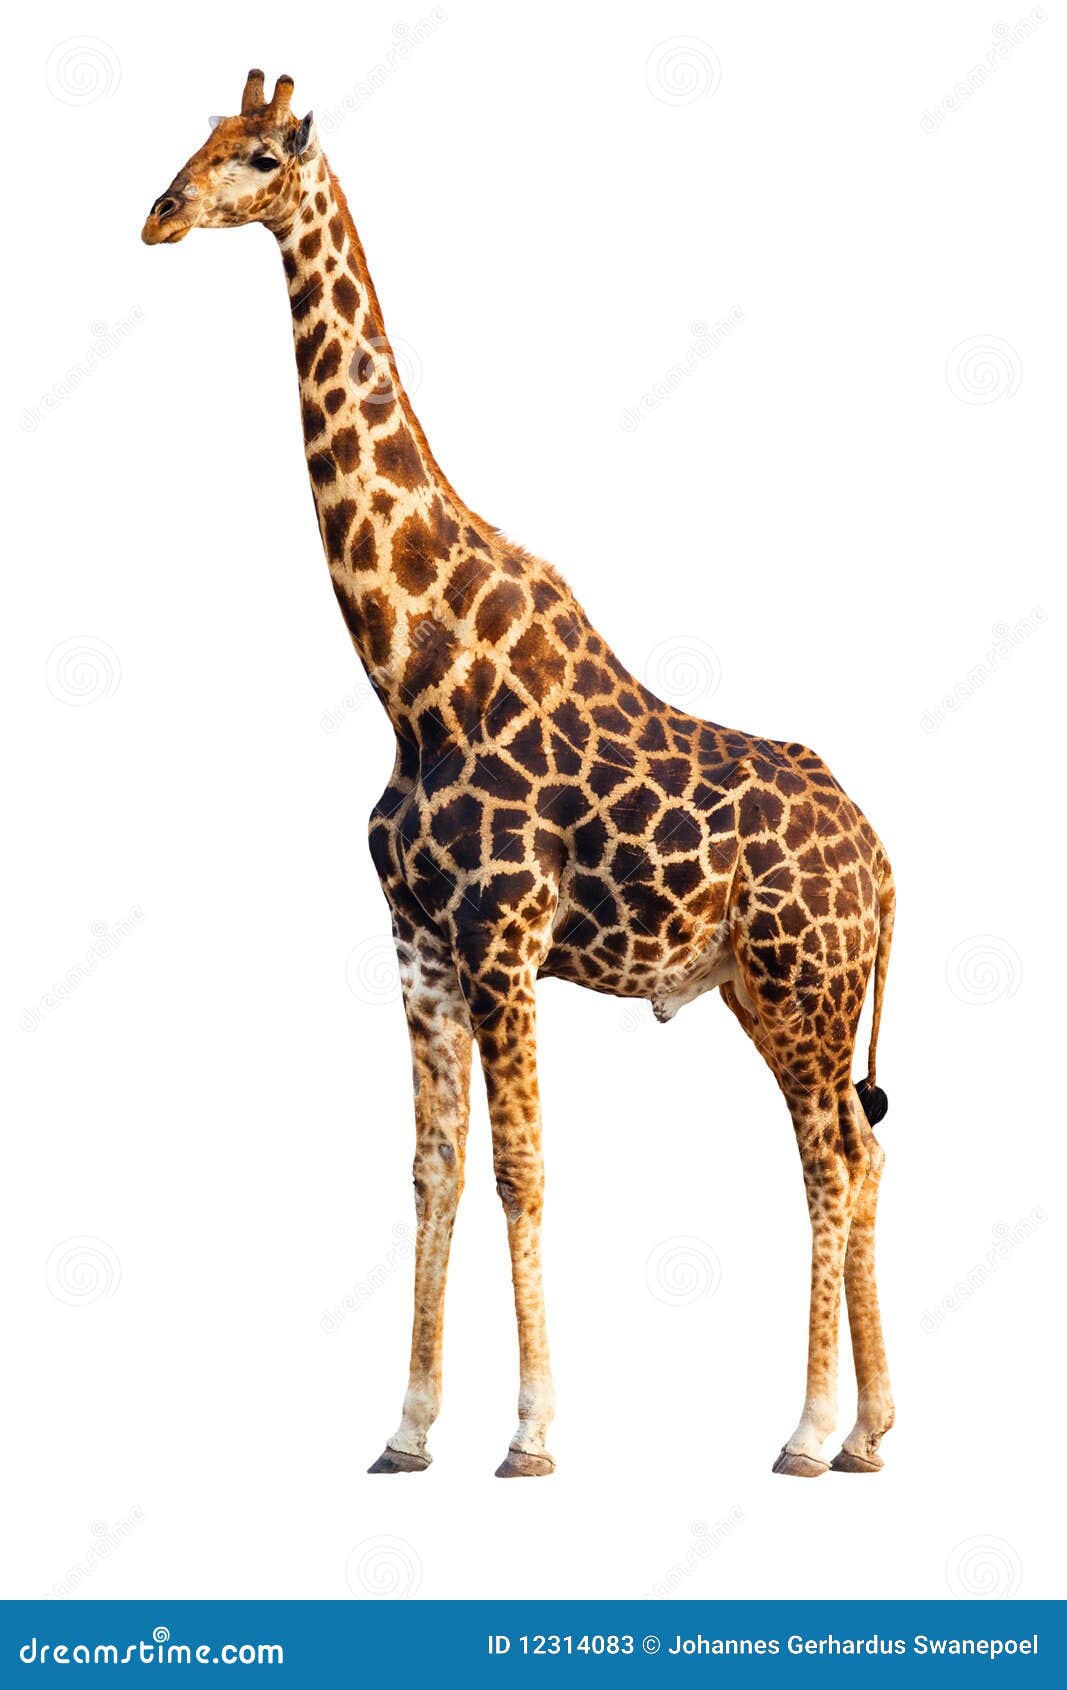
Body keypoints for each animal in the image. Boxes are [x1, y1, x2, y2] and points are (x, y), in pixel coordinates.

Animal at [143, 70, 896, 1479]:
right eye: (199, 142)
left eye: (260, 157)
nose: (157, 213)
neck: (410, 670)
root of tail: (881, 863)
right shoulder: (417, 941)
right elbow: (433, 1167)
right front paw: (405, 1428)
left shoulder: (501, 936)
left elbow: (520, 1169)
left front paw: (532, 1432)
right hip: (763, 988)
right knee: (858, 1150)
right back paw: (872, 1430)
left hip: (802, 981)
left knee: (829, 1158)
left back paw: (809, 1432)